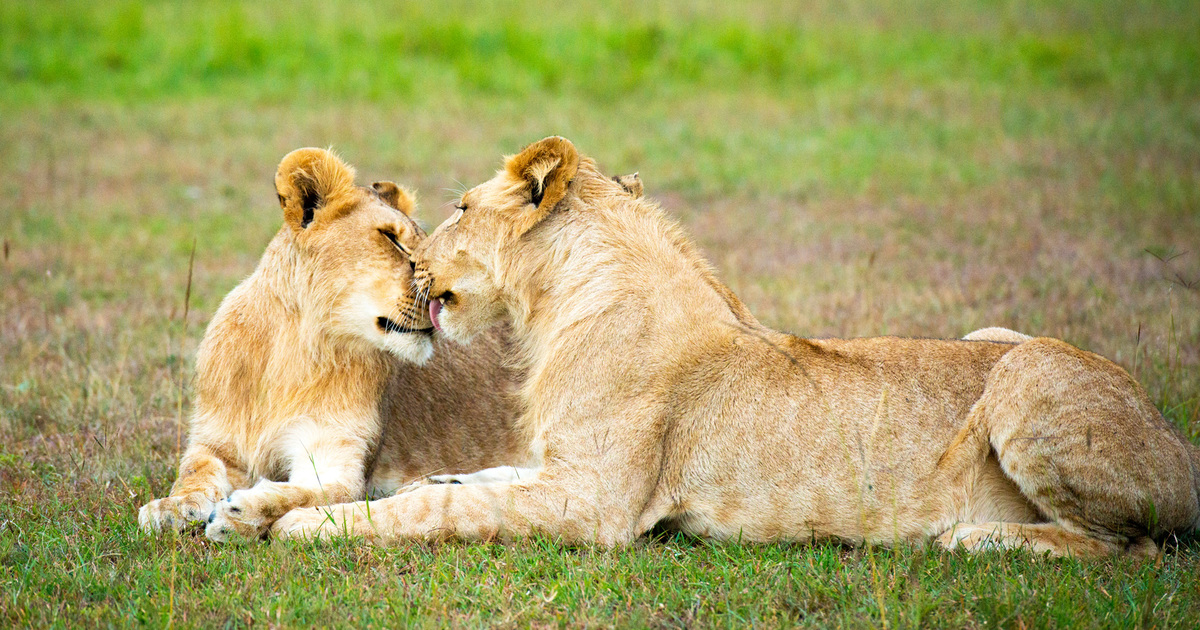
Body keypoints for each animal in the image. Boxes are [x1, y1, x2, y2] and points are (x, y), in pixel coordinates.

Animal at [137, 148, 532, 541]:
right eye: (391, 238)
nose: (441, 299)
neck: (297, 348)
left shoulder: (336, 454)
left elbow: (311, 492)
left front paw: (240, 513)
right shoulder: (216, 442)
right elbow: (195, 472)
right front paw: (172, 508)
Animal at [273, 137, 1200, 557]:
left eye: (461, 208)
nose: (416, 262)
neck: (558, 308)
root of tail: (1174, 437)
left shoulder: (597, 506)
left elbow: (437, 511)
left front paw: (307, 522)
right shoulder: (560, 469)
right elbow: (479, 480)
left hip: (1028, 370)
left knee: (1131, 546)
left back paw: (971, 538)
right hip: (1000, 336)